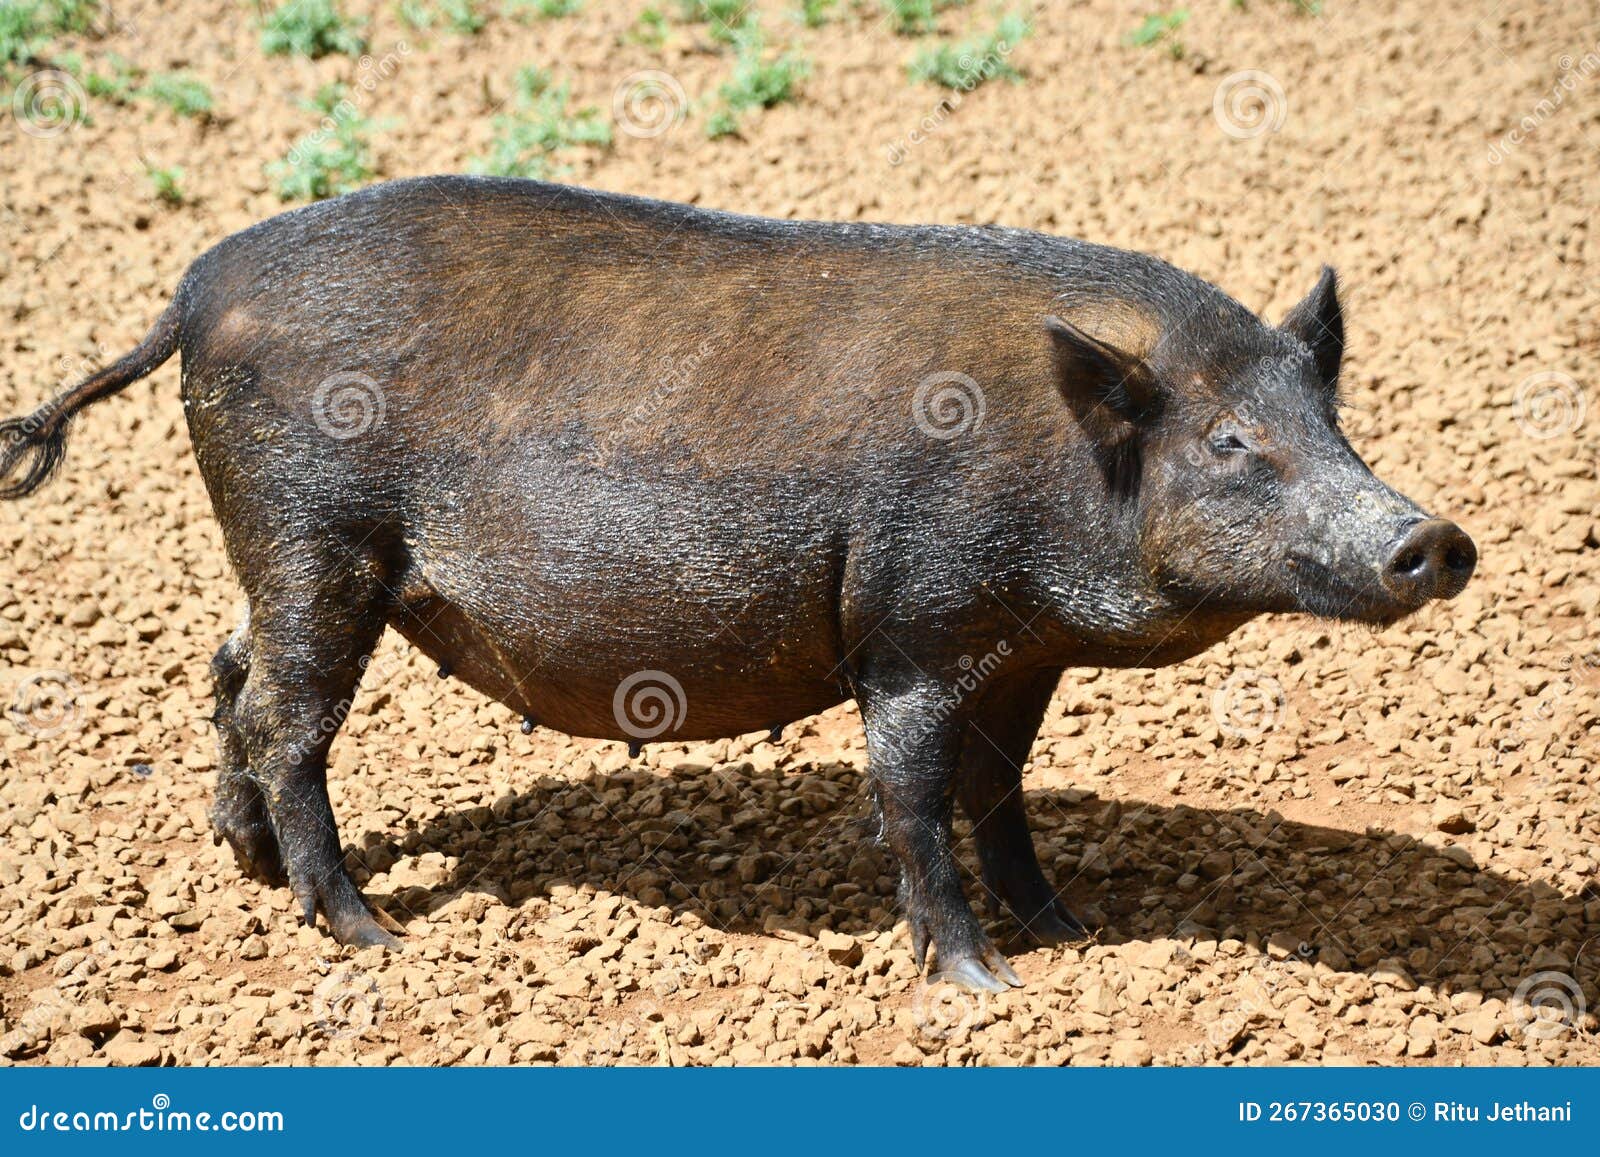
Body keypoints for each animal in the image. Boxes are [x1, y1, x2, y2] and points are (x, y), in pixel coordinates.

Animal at [0, 177, 1476, 991]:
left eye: (1332, 421)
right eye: (1228, 443)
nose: (1436, 540)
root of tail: (195, 291)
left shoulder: (1024, 649)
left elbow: (1002, 794)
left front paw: (1074, 921)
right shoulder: (913, 626)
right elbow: (914, 796)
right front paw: (984, 981)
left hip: (278, 547)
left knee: (228, 671)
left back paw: (245, 864)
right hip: (316, 530)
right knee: (287, 716)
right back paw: (364, 932)